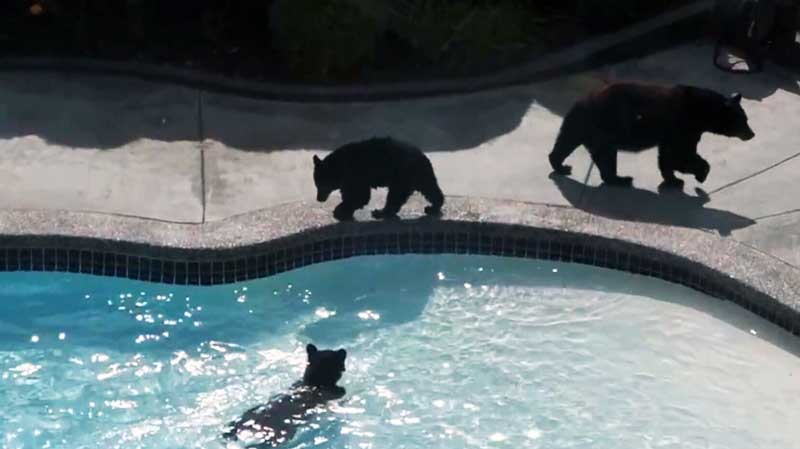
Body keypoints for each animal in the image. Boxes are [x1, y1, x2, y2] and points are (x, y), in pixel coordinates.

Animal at [313, 137, 445, 221]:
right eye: (316, 184)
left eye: (320, 184)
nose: (319, 199)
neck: (340, 166)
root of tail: (423, 156)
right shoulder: (350, 179)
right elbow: (354, 194)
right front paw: (343, 210)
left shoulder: (356, 174)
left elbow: (359, 195)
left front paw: (340, 211)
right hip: (420, 176)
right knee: (430, 189)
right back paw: (434, 206)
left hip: (402, 174)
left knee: (395, 195)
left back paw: (381, 212)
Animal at [548, 82, 755, 188]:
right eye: (743, 120)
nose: (752, 134)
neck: (701, 111)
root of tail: (577, 103)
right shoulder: (683, 125)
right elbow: (681, 153)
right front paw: (700, 172)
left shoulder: (674, 132)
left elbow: (667, 155)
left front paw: (672, 179)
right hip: (600, 127)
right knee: (601, 154)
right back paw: (620, 179)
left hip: (584, 127)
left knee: (567, 142)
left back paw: (562, 165)